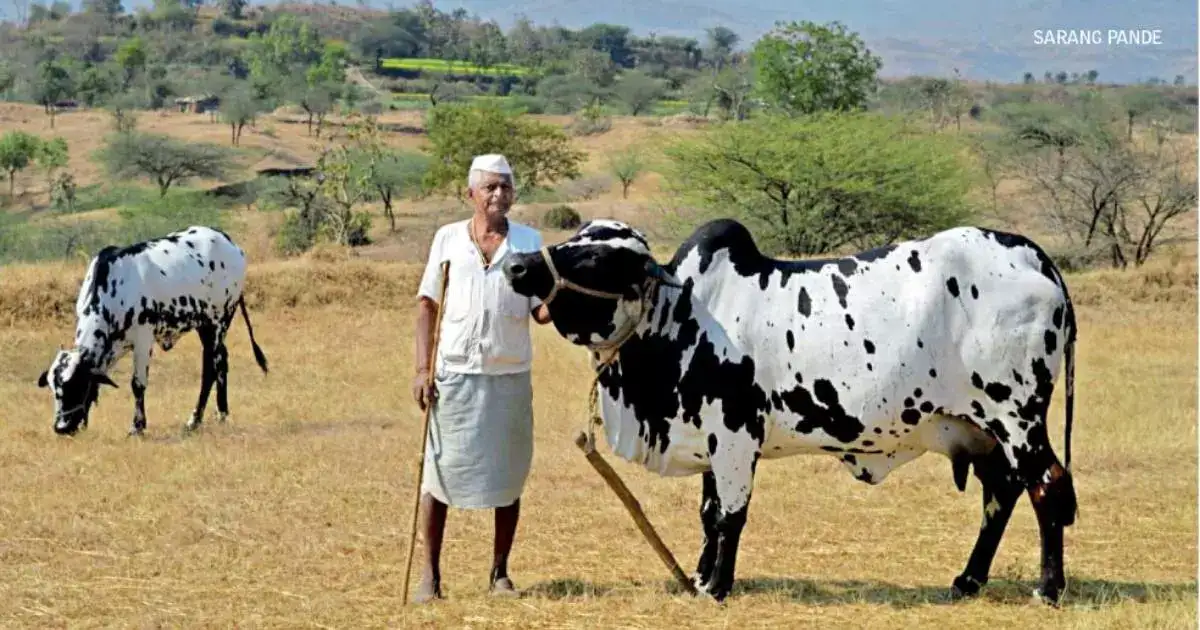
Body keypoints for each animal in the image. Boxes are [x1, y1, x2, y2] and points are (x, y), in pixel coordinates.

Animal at [37, 226, 269, 437]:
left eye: (75, 385)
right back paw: (212, 416)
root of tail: (228, 241)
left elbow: (137, 384)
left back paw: (204, 418)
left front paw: (137, 426)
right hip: (204, 326)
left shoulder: (143, 339)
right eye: (53, 389)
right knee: (218, 362)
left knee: (214, 365)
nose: (61, 427)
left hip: (219, 321)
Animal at [500, 218, 1078, 606]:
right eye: (575, 237)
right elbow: (708, 513)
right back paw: (967, 581)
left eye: (598, 258)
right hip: (980, 430)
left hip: (1018, 418)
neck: (678, 315)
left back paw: (1047, 589)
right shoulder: (710, 440)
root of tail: (1032, 255)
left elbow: (730, 515)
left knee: (1046, 486)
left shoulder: (735, 435)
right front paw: (702, 575)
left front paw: (717, 586)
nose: (516, 265)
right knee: (1000, 494)